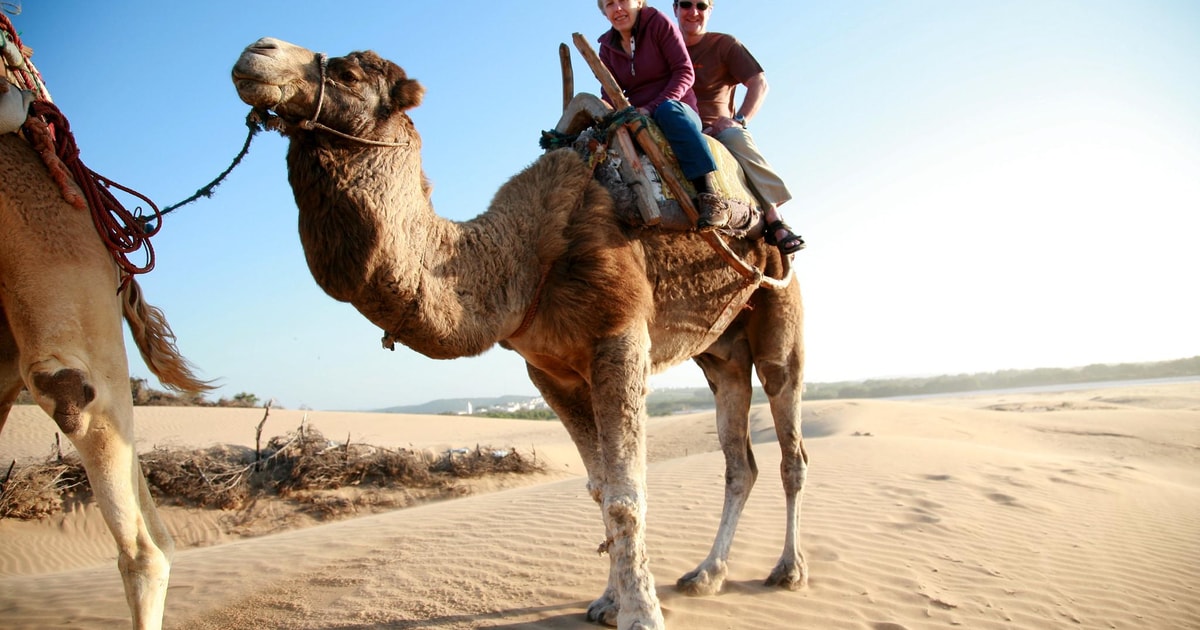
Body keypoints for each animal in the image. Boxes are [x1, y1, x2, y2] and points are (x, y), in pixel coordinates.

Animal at [232, 37, 808, 630]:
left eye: (347, 74)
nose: (257, 51)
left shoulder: (619, 337)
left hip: (779, 309)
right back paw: (706, 574)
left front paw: (641, 613)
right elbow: (599, 489)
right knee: (739, 460)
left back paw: (786, 570)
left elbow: (625, 496)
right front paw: (608, 602)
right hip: (720, 353)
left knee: (790, 442)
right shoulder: (549, 372)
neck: (525, 257)